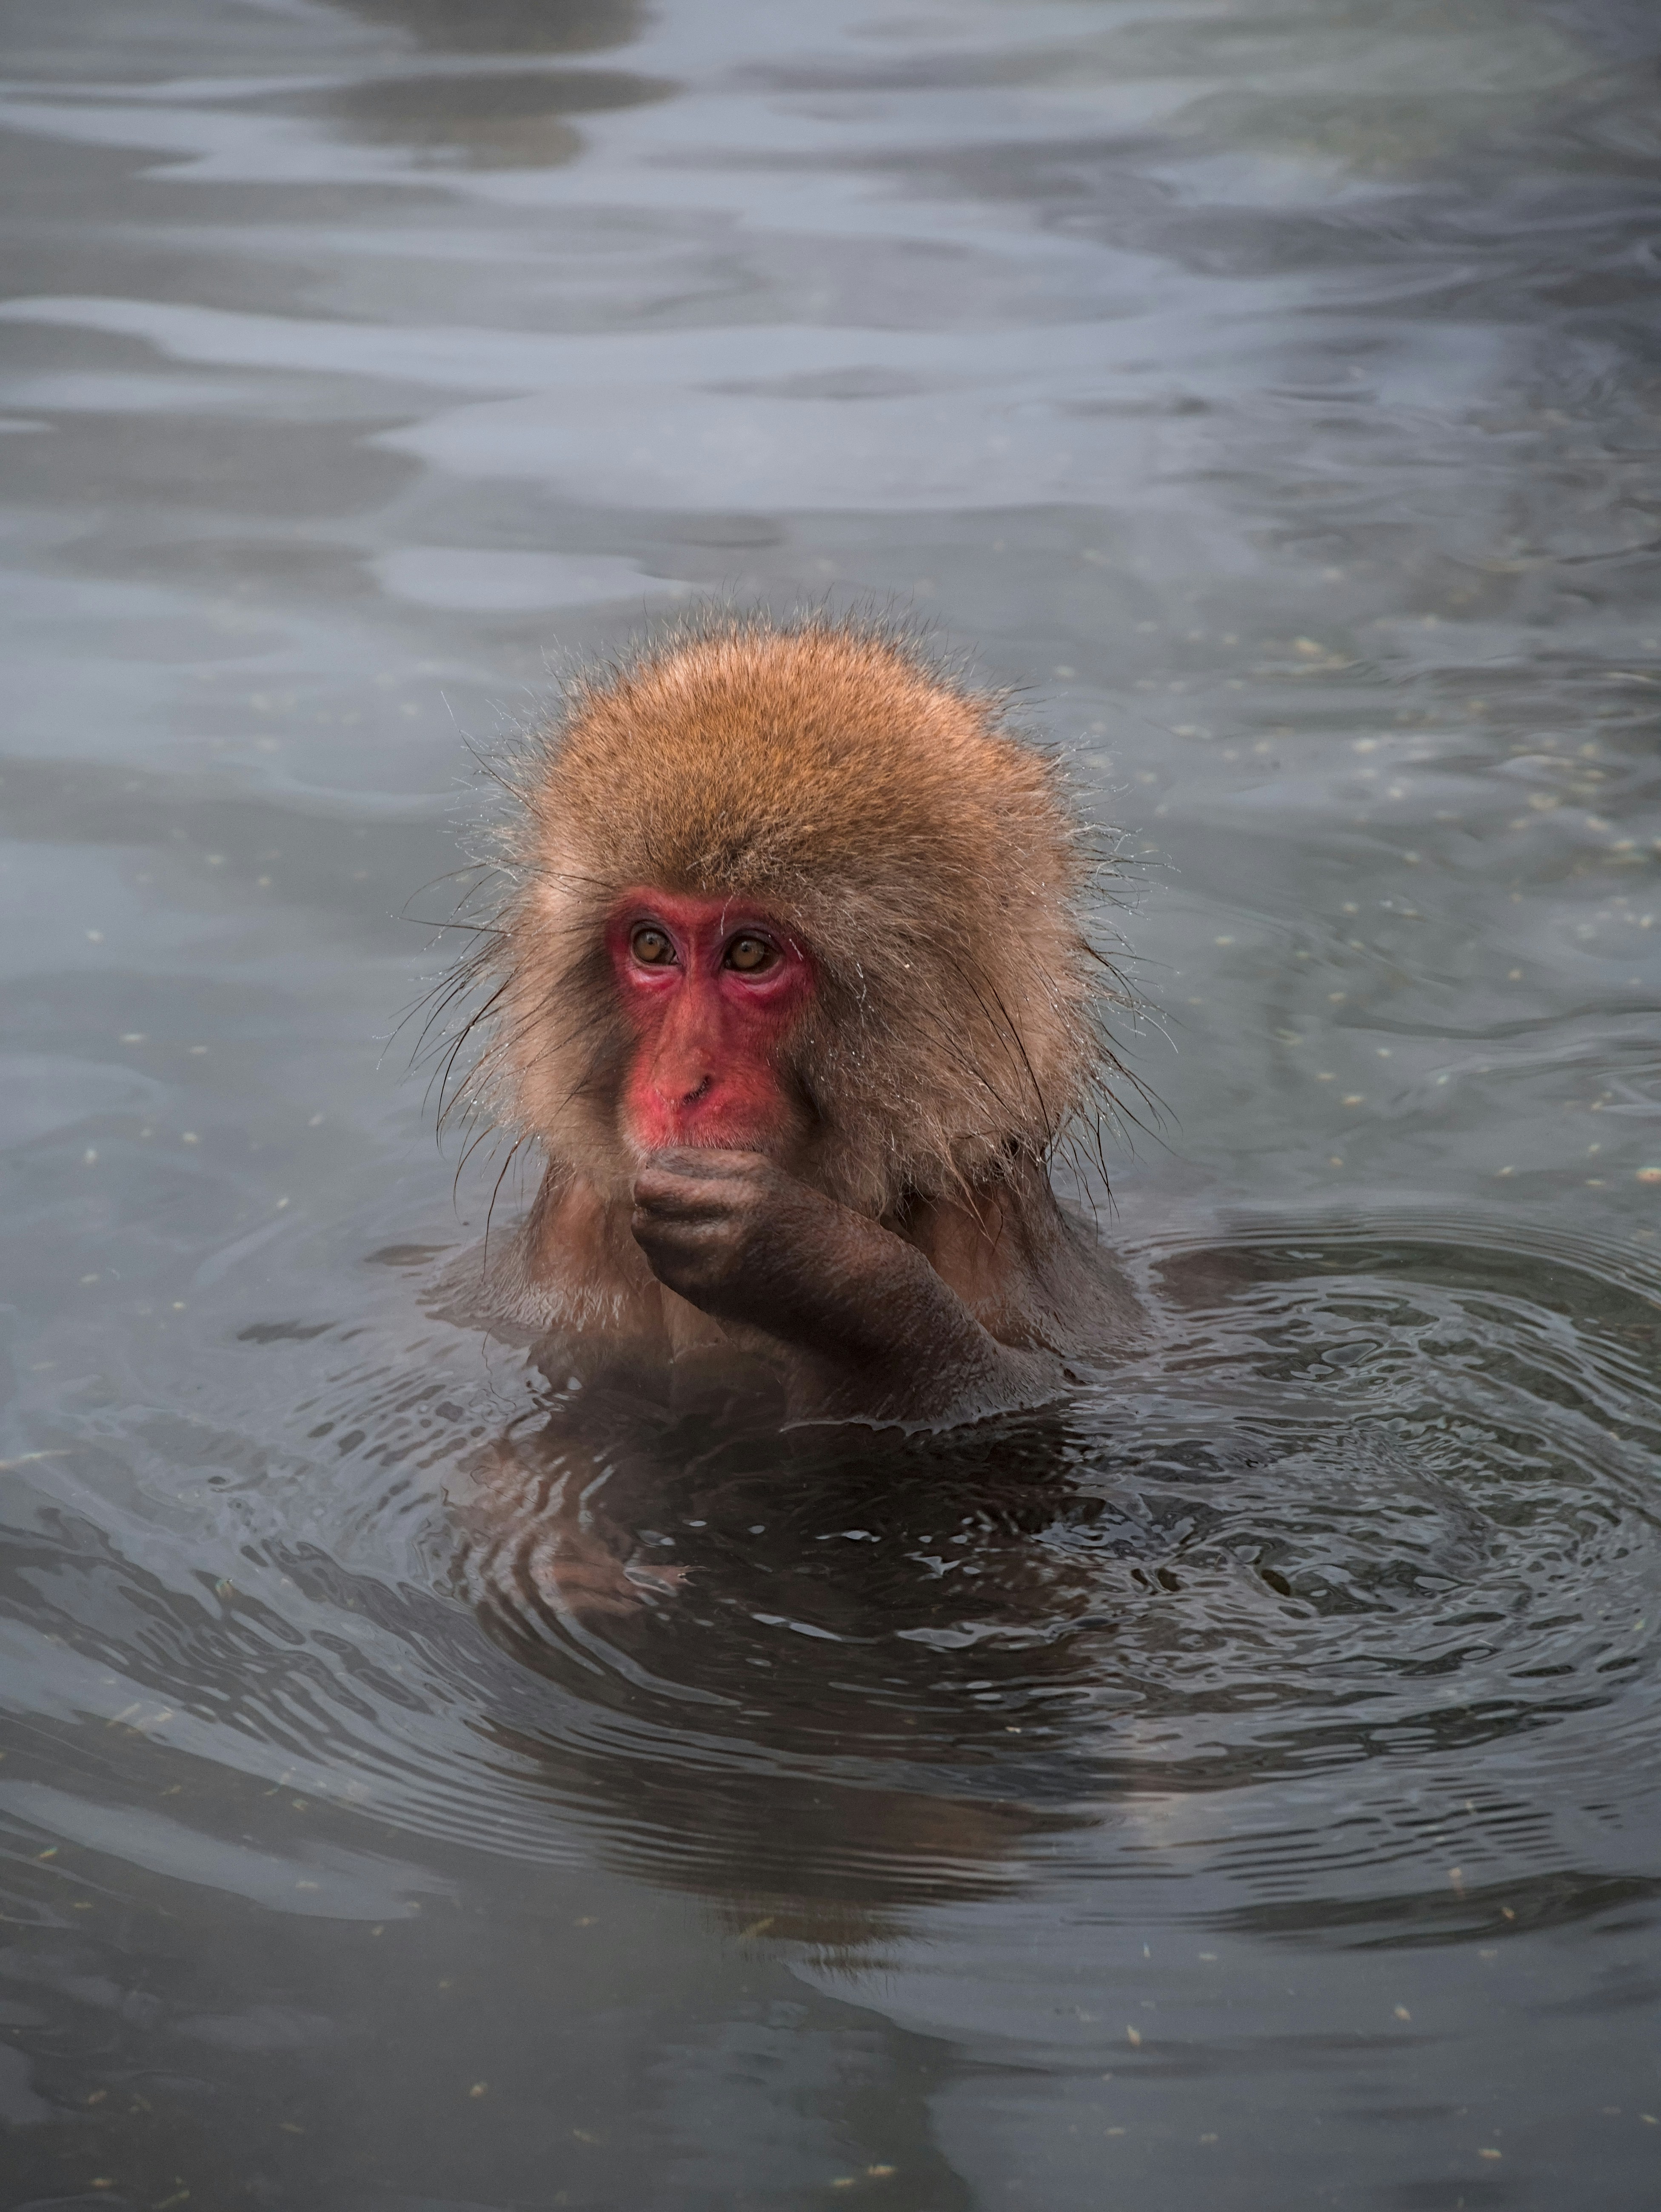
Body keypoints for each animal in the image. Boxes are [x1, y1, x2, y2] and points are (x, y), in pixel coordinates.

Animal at [433, 613, 1140, 1435]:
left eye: (749, 954)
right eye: (653, 946)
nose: (679, 1085)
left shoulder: (992, 1227)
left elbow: (1015, 1391)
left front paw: (811, 1262)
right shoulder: (572, 1232)